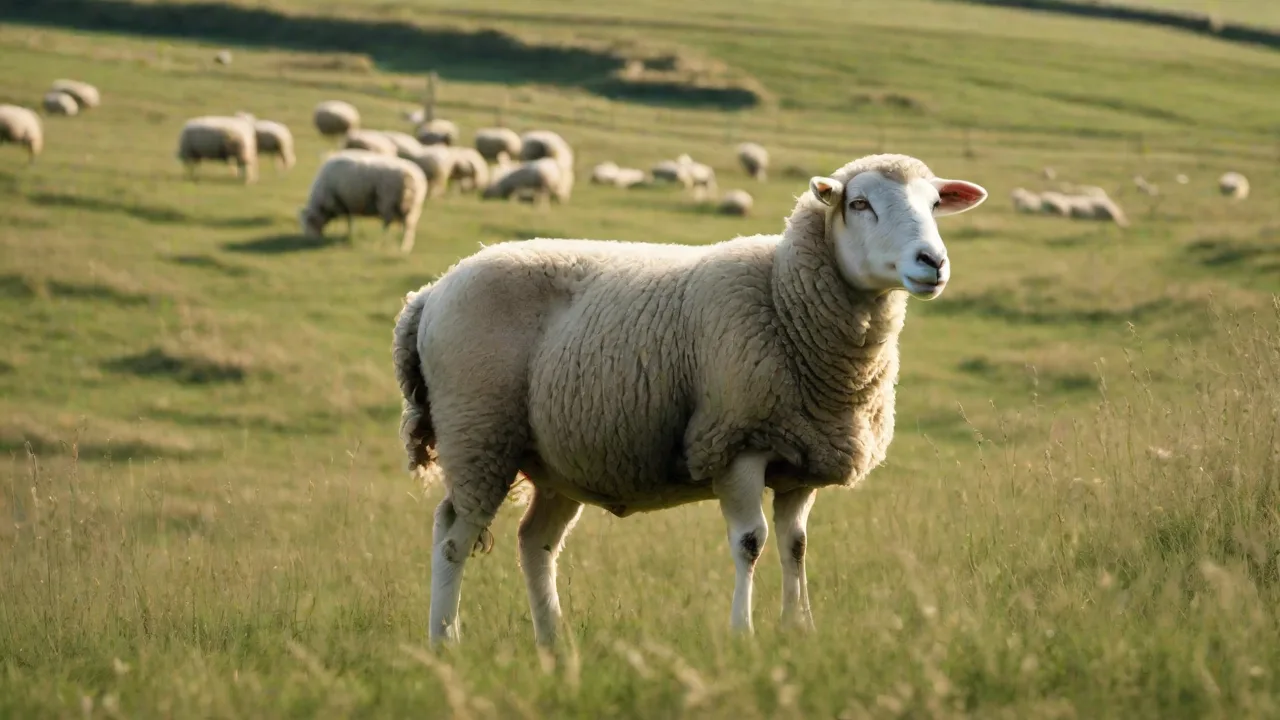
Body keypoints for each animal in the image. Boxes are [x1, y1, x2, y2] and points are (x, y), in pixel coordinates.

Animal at [299, 149, 428, 253]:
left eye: (309, 222)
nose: (310, 241)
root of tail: (409, 175)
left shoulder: (341, 202)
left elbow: (346, 221)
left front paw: (345, 235)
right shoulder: (349, 204)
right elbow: (350, 220)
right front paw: (349, 234)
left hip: (388, 201)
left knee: (388, 223)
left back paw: (386, 242)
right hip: (414, 207)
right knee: (408, 226)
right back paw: (405, 245)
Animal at [393, 153, 988, 647]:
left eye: (935, 204)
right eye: (860, 204)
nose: (932, 261)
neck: (782, 297)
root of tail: (430, 292)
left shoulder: (801, 458)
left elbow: (795, 546)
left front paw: (799, 631)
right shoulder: (735, 441)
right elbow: (751, 542)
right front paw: (743, 635)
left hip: (557, 458)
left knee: (534, 544)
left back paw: (553, 646)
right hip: (478, 433)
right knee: (452, 538)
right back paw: (446, 643)